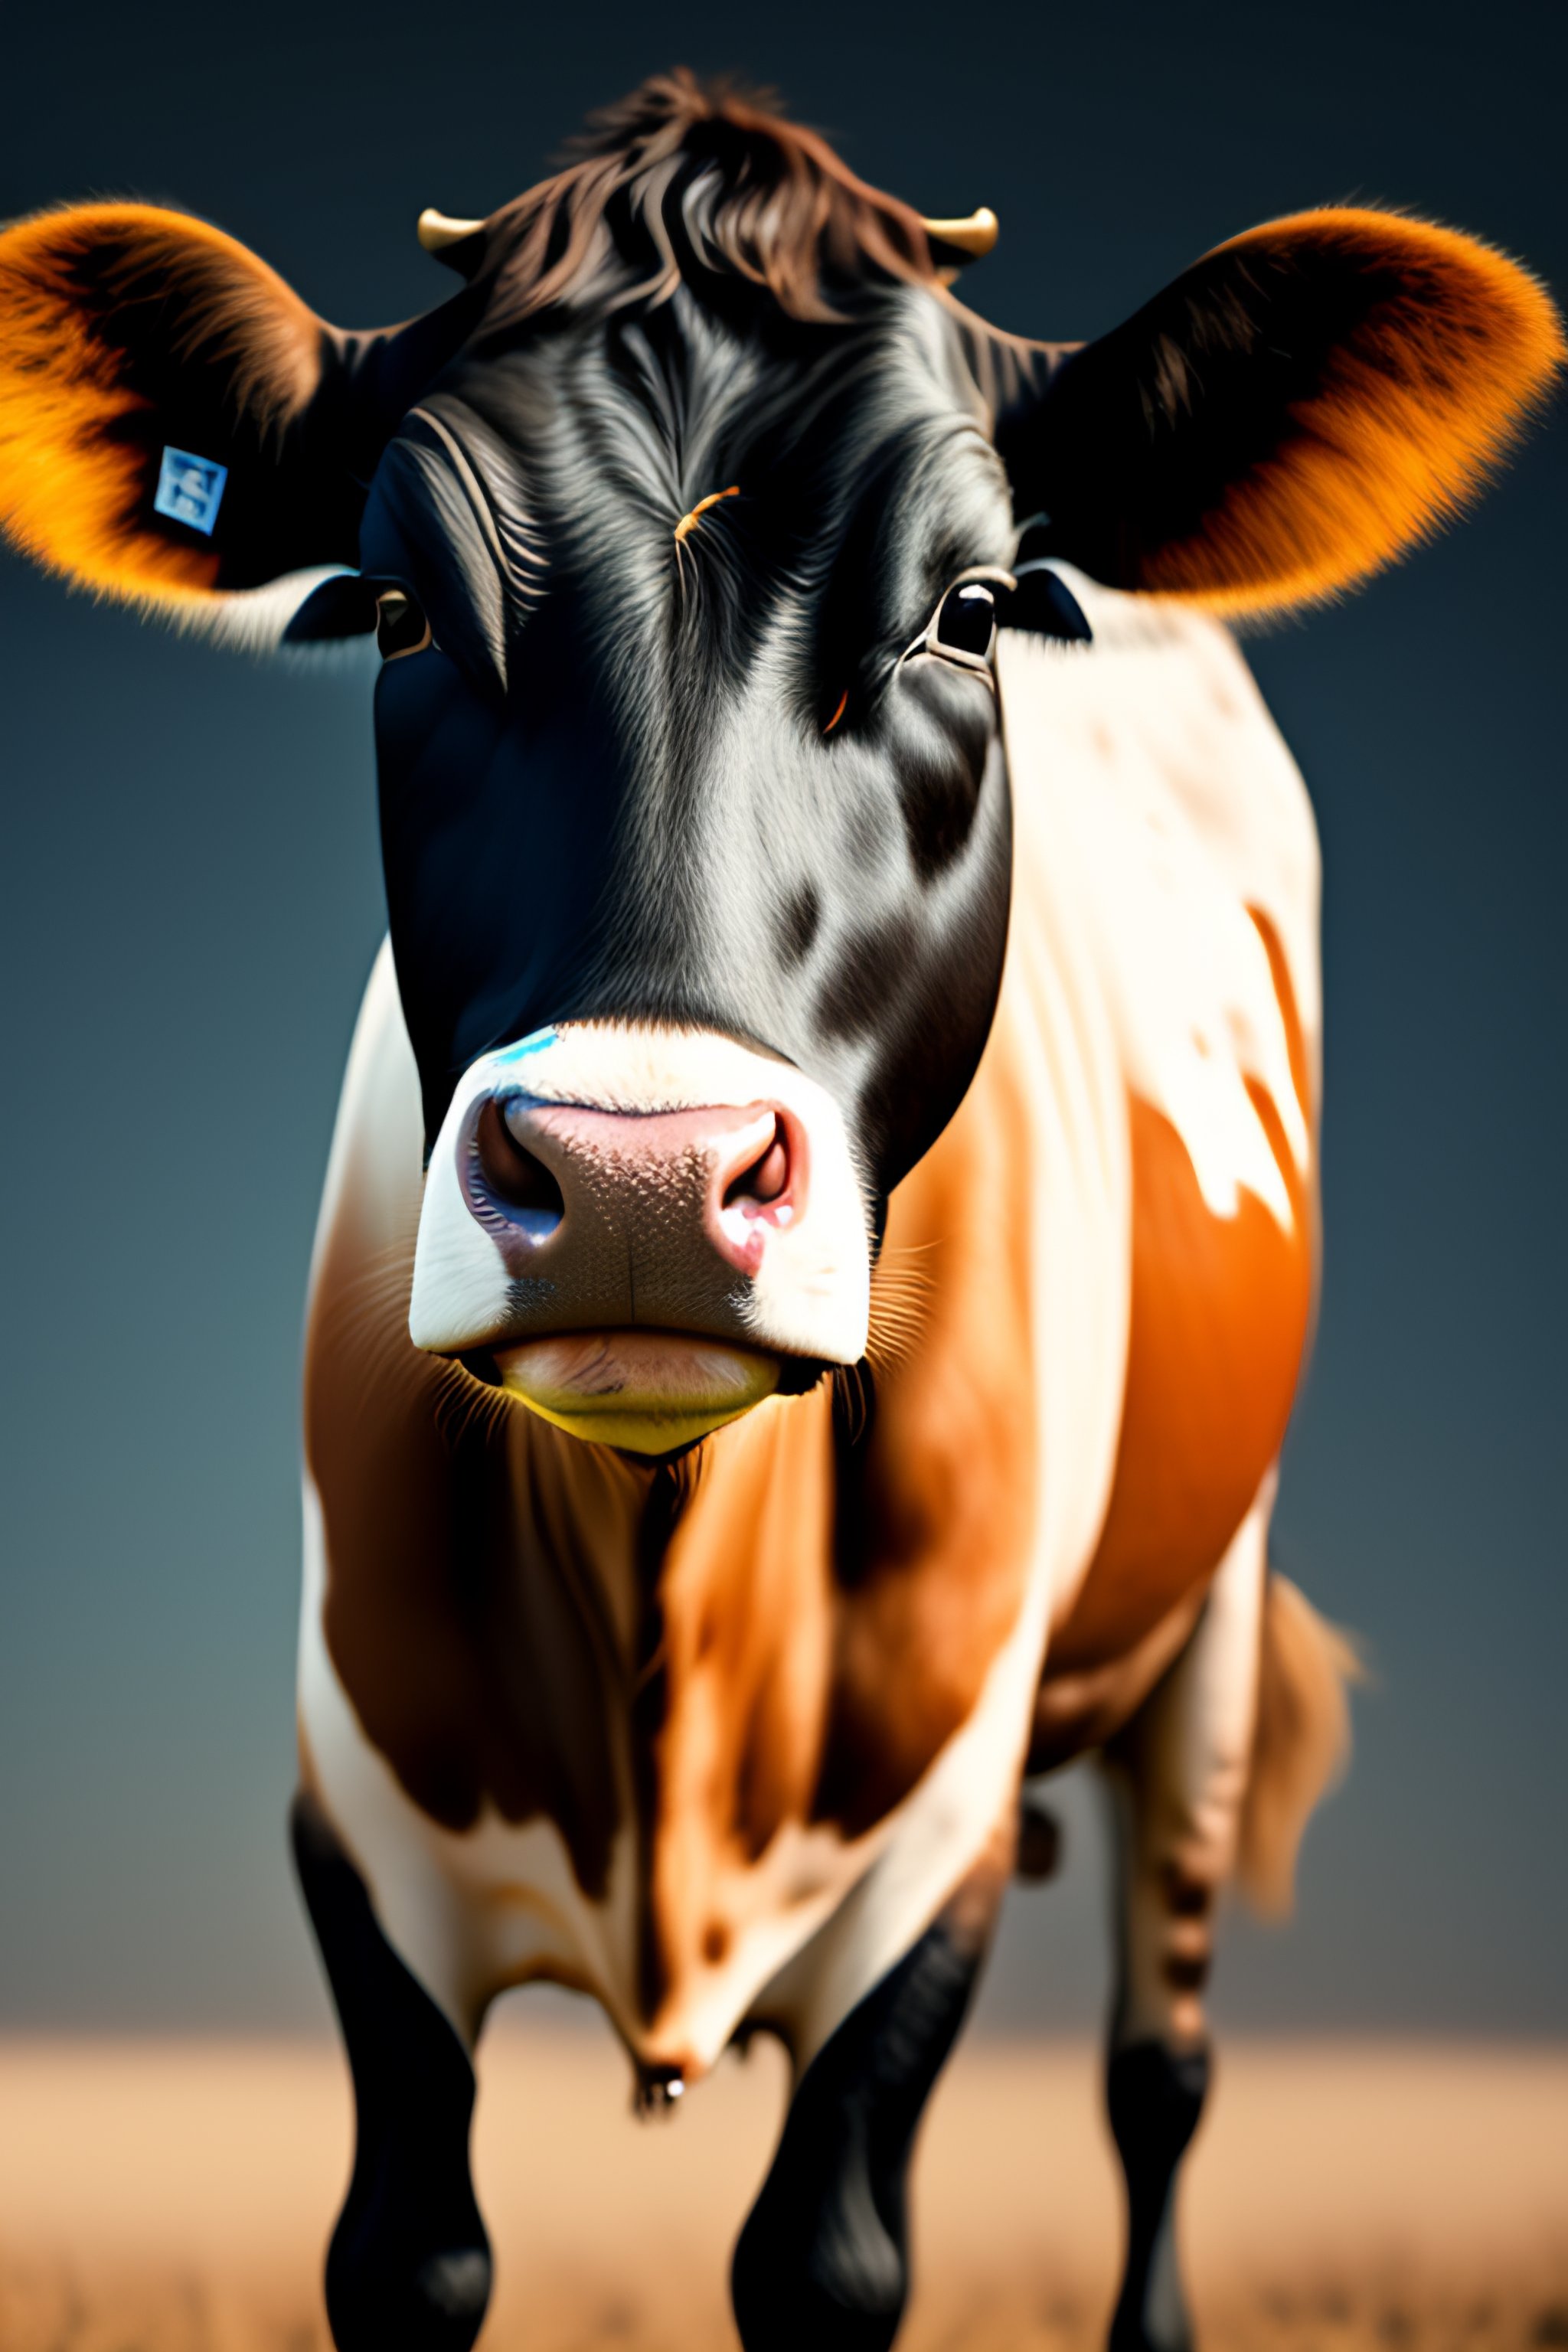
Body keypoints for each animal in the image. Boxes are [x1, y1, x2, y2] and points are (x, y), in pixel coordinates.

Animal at [1, 70, 1560, 2352]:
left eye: (970, 609)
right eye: (395, 608)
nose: (637, 1180)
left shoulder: (930, 1859)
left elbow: (828, 2261)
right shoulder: (356, 1821)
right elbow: (407, 2255)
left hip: (1206, 1613)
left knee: (1163, 2074)